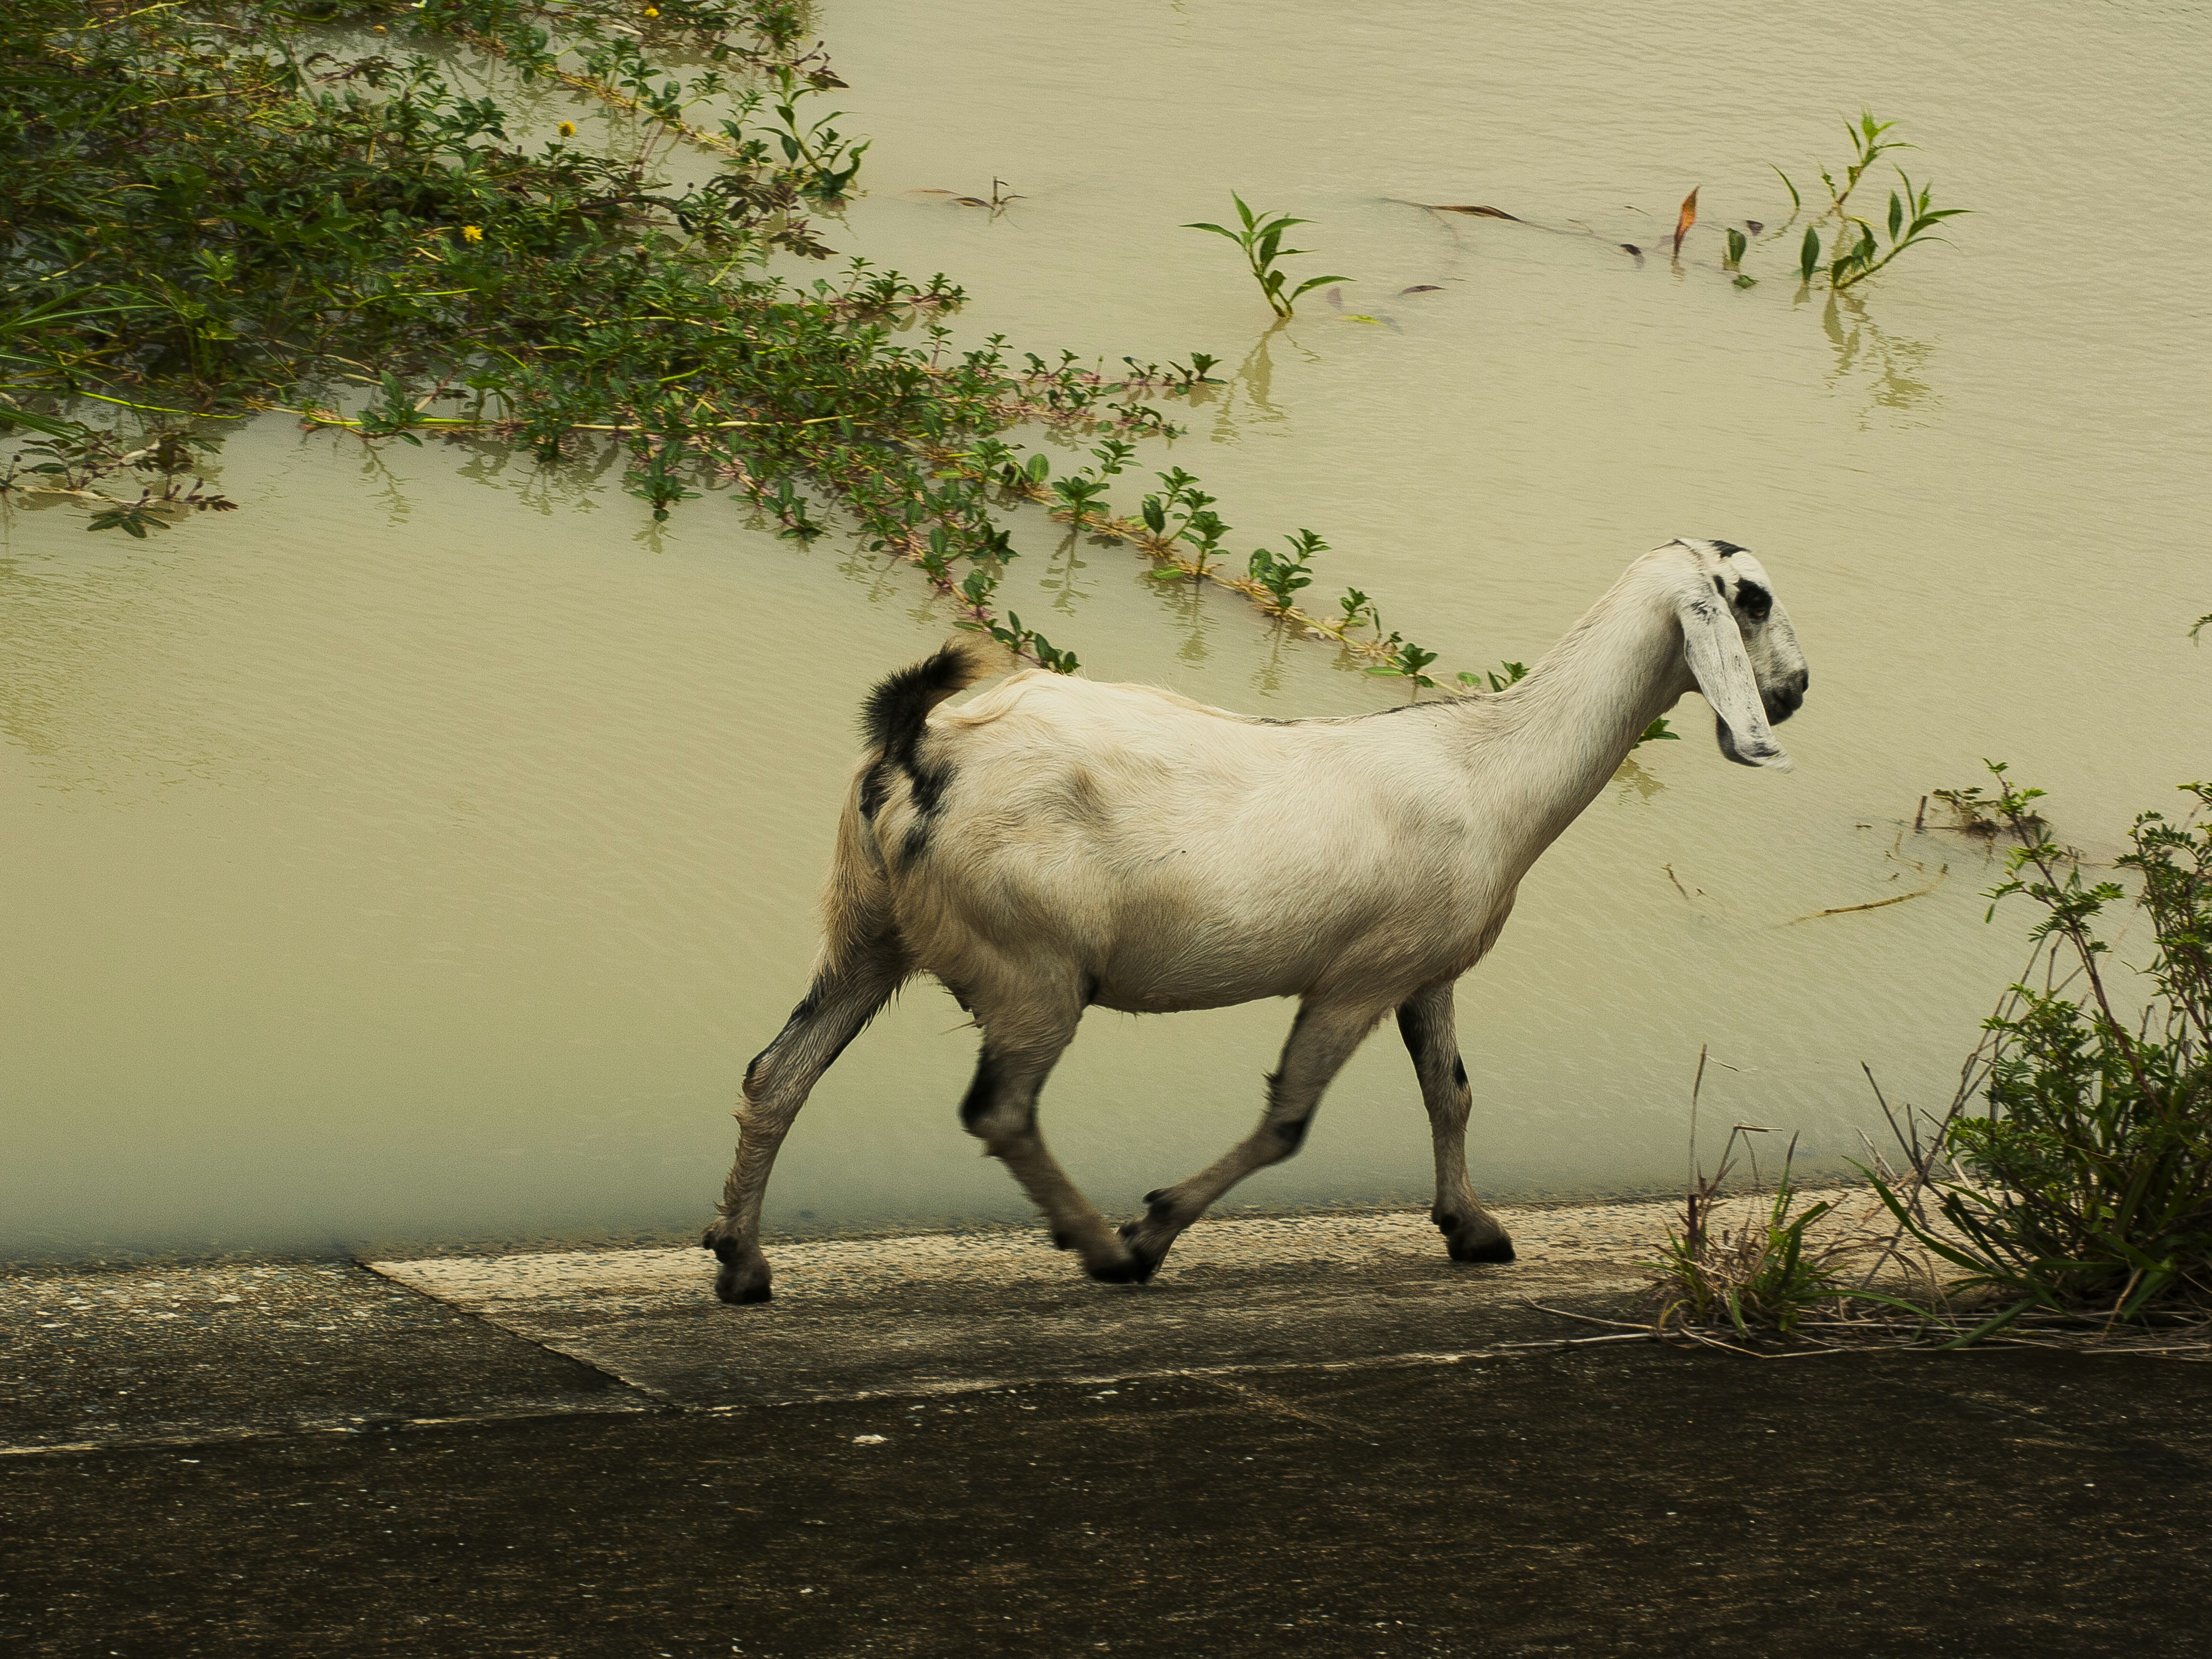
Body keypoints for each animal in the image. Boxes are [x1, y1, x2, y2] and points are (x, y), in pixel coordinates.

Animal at [704, 538, 1809, 1302]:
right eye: (1751, 600)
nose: (1795, 691)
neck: (1492, 765)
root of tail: (918, 748)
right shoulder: (1359, 976)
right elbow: (1287, 1121)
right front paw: (1155, 1227)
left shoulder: (1425, 969)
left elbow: (1451, 1093)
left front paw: (1474, 1230)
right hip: (1031, 967)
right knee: (999, 1112)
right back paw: (1103, 1250)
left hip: (868, 931)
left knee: (777, 1075)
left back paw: (742, 1265)